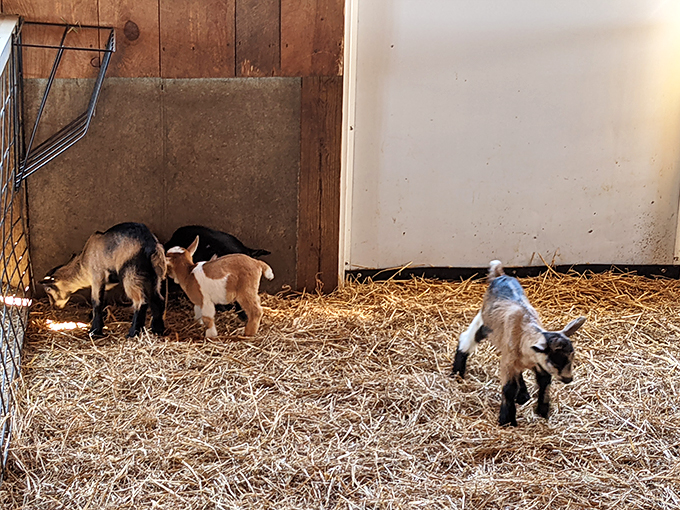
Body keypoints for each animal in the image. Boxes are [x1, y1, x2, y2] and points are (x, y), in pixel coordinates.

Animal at [451, 260, 586, 426]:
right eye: (556, 361)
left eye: (572, 358)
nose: (568, 379)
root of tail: (500, 275)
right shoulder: (509, 362)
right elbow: (509, 388)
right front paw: (506, 420)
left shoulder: (537, 363)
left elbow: (544, 382)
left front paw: (542, 411)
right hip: (484, 323)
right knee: (466, 338)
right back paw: (457, 372)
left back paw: (523, 395)